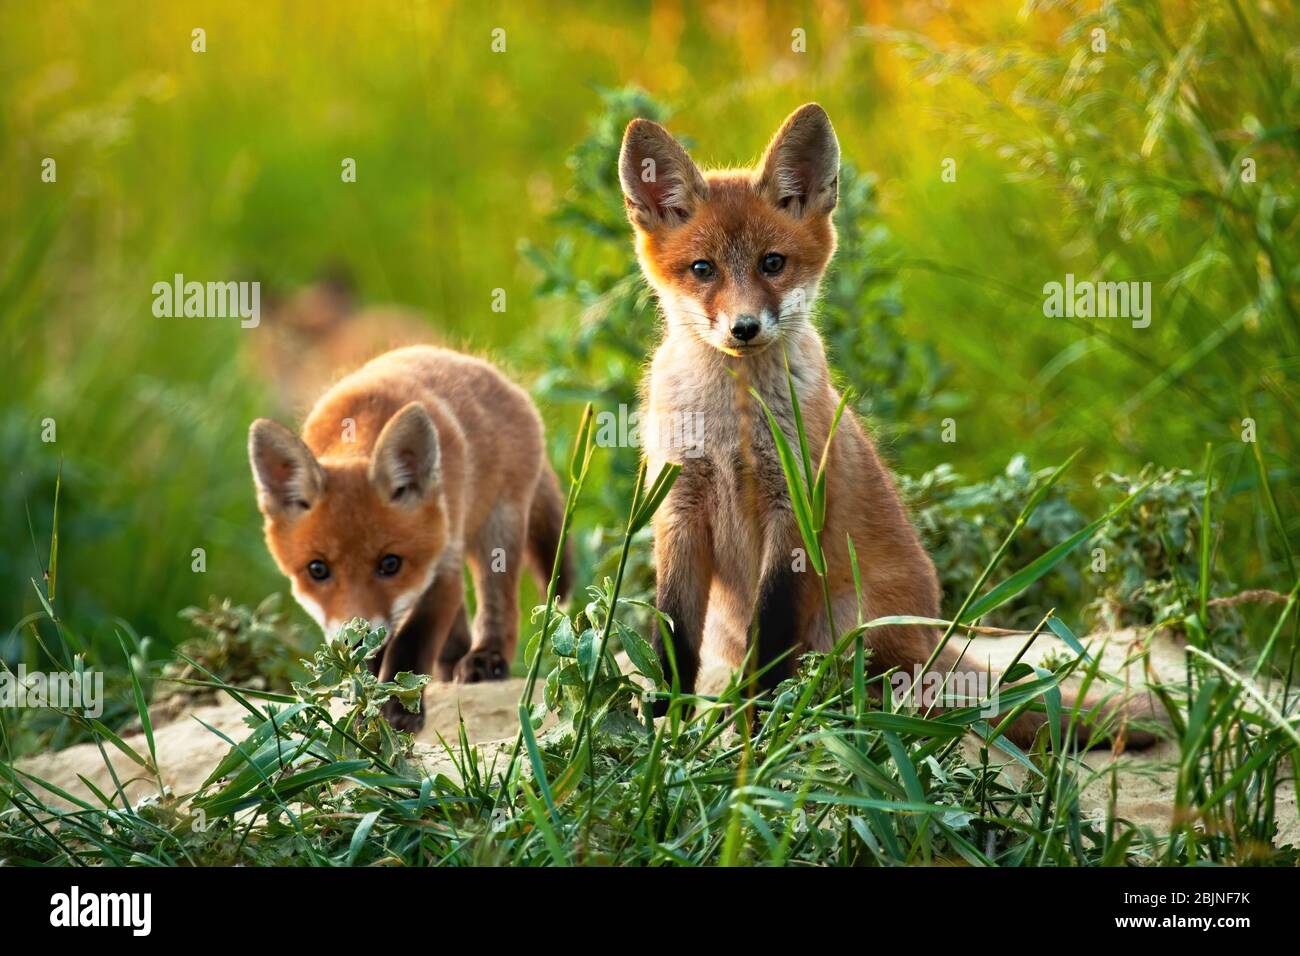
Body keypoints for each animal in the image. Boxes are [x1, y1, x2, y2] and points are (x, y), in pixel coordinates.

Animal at [248, 345, 573, 730]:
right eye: (317, 570)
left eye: (390, 564)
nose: (355, 640)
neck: (360, 429)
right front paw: (368, 707)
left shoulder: (444, 567)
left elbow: (412, 639)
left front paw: (400, 708)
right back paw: (451, 661)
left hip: (498, 529)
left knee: (499, 607)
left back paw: (486, 658)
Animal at [619, 104, 1154, 749]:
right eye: (703, 269)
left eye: (772, 263)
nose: (744, 328)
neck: (734, 428)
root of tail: (936, 637)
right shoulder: (676, 505)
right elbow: (670, 637)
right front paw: (659, 727)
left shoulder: (796, 508)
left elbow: (771, 641)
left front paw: (759, 733)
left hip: (855, 628)